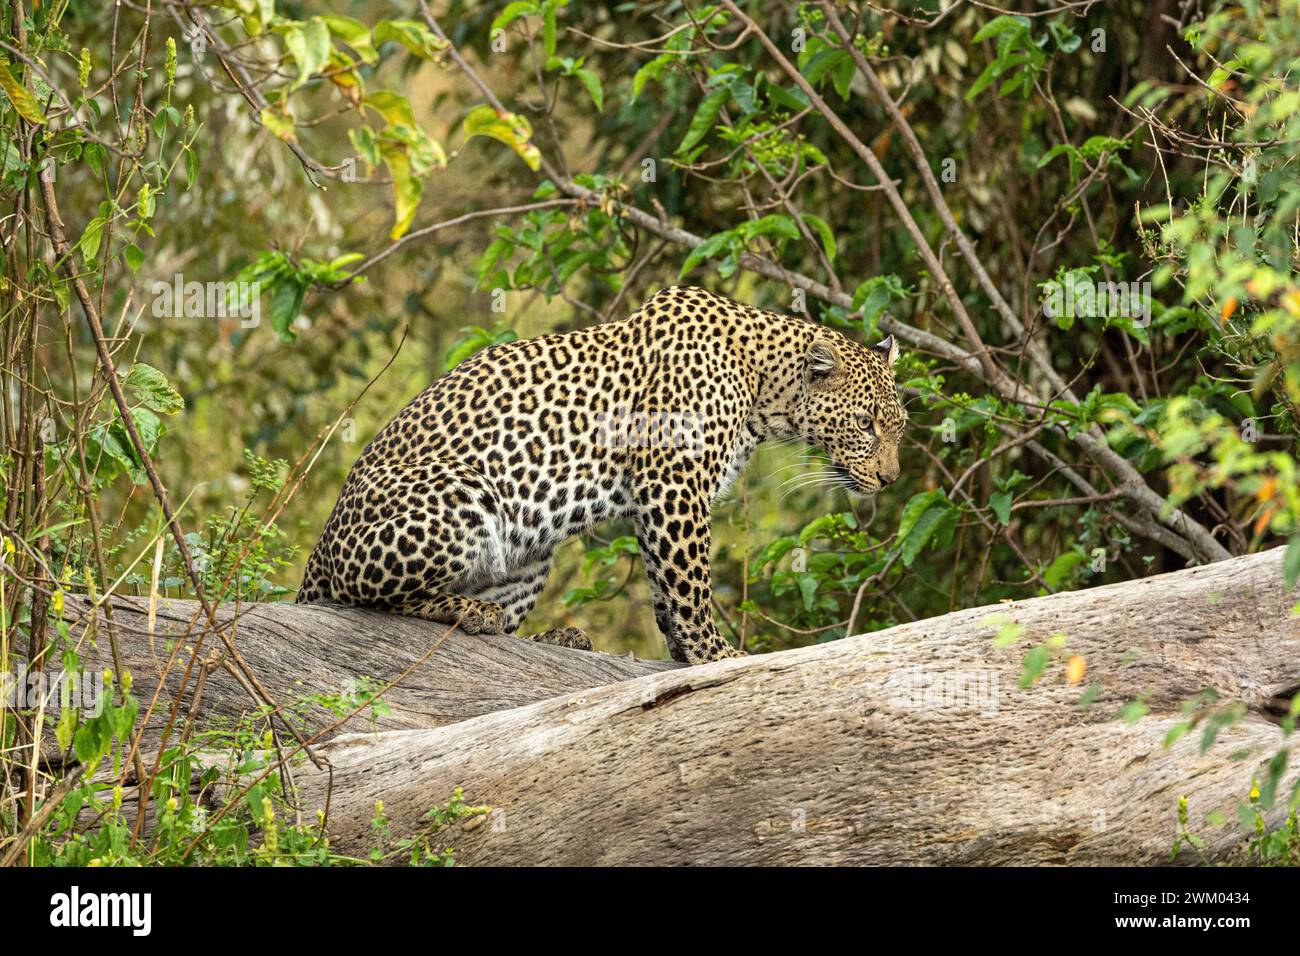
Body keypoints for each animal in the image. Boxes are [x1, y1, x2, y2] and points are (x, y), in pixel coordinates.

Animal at [297, 285, 907, 664]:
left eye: (898, 426)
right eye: (865, 424)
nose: (891, 479)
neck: (763, 387)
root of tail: (318, 554)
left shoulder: (659, 497)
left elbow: (665, 583)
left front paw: (682, 651)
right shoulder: (674, 483)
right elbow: (691, 583)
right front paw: (714, 653)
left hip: (528, 557)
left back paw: (558, 636)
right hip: (462, 491)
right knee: (364, 596)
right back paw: (472, 612)